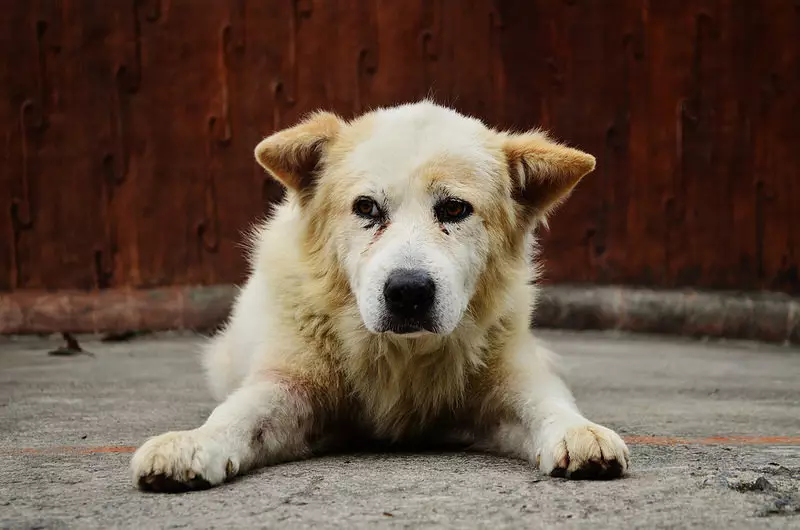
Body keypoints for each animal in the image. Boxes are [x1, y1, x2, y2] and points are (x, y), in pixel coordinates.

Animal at [130, 100, 632, 490]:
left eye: (454, 209)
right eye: (366, 208)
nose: (408, 293)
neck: (401, 355)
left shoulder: (508, 383)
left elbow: (545, 401)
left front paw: (579, 431)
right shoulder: (290, 387)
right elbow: (238, 414)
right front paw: (194, 443)